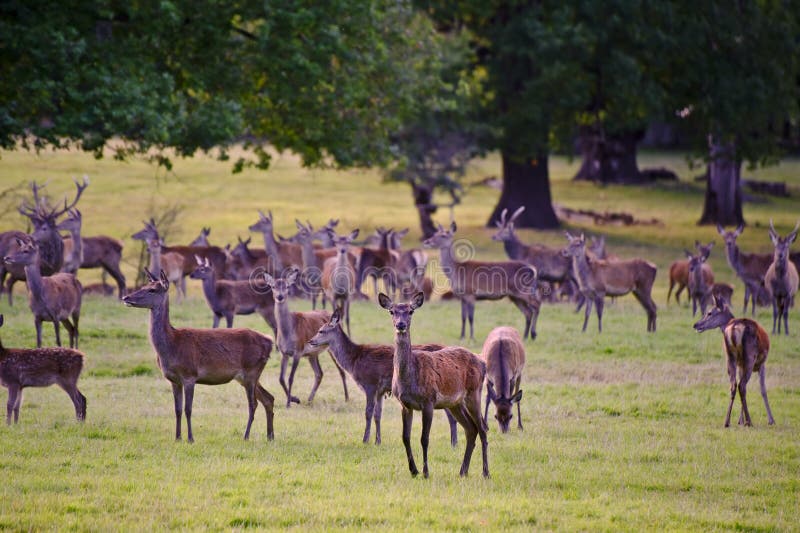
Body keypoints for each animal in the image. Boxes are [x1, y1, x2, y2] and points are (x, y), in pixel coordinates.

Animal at [122, 269, 276, 442]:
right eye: (143, 286)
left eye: (152, 290)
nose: (126, 298)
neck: (171, 346)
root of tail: (269, 341)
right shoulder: (174, 380)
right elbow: (177, 409)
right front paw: (177, 438)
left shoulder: (190, 375)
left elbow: (188, 409)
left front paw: (190, 438)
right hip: (246, 376)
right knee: (268, 398)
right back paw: (270, 436)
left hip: (251, 370)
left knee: (253, 403)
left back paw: (246, 436)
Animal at [263, 268, 349, 408]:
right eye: (273, 286)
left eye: (287, 286)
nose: (280, 297)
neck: (288, 332)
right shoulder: (284, 352)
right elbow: (281, 378)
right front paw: (295, 399)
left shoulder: (298, 351)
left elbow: (290, 378)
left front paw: (289, 403)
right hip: (312, 354)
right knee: (319, 373)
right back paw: (309, 399)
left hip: (330, 348)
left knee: (340, 370)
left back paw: (346, 398)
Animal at [307, 309, 458, 445]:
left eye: (321, 331)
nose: (310, 341)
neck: (354, 361)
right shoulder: (380, 390)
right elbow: (378, 415)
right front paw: (377, 441)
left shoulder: (370, 384)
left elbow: (368, 412)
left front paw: (365, 440)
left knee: (451, 415)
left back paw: (454, 443)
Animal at [379, 292, 489, 478]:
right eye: (391, 311)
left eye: (411, 311)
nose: (401, 325)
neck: (409, 379)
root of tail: (482, 362)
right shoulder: (404, 404)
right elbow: (405, 437)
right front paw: (413, 471)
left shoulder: (428, 401)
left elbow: (424, 438)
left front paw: (425, 472)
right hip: (455, 403)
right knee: (471, 429)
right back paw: (463, 471)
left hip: (474, 392)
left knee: (482, 428)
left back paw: (486, 472)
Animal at [693, 294, 775, 427]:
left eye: (709, 312)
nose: (696, 324)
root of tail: (734, 327)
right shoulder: (762, 364)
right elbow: (763, 390)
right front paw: (771, 420)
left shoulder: (741, 365)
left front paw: (739, 420)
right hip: (750, 357)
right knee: (742, 385)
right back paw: (749, 421)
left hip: (730, 357)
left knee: (734, 385)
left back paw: (727, 421)